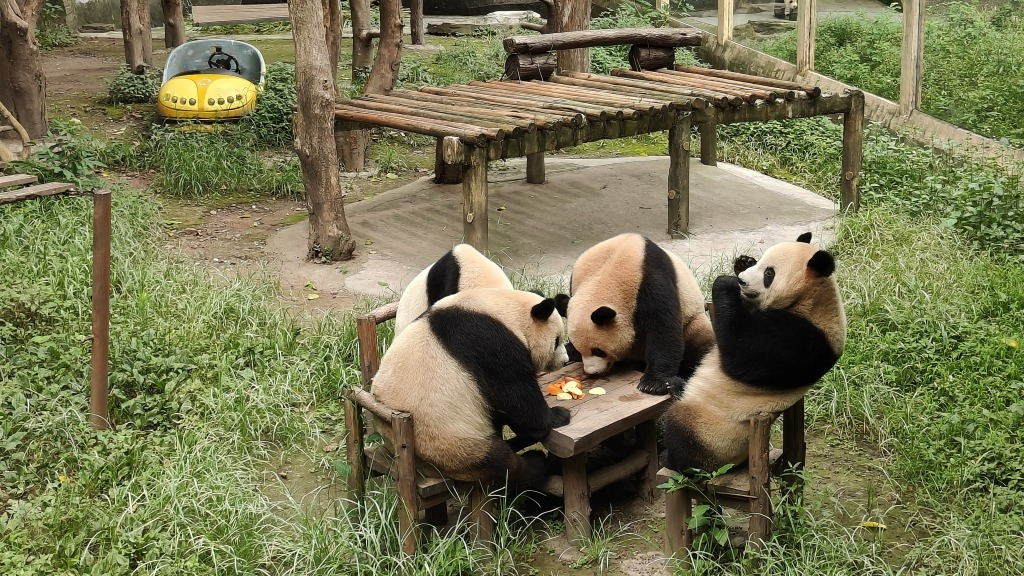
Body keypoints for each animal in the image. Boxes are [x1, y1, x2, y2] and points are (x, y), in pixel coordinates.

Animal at [371, 288, 571, 485]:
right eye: (556, 340)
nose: (564, 361)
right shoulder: (490, 343)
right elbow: (516, 395)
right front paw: (558, 416)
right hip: (453, 445)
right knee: (504, 465)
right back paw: (535, 462)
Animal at [566, 233, 715, 395]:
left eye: (598, 351)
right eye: (581, 349)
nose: (592, 372)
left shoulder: (650, 279)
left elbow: (662, 328)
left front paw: (654, 384)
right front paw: (572, 350)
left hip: (694, 321)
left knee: (701, 339)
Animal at [662, 232, 847, 473]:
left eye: (769, 274)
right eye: (761, 263)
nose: (742, 281)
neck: (813, 299)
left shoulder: (803, 339)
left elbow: (741, 350)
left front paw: (726, 282)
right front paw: (742, 263)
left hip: (715, 432)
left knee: (682, 432)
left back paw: (673, 459)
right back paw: (676, 385)